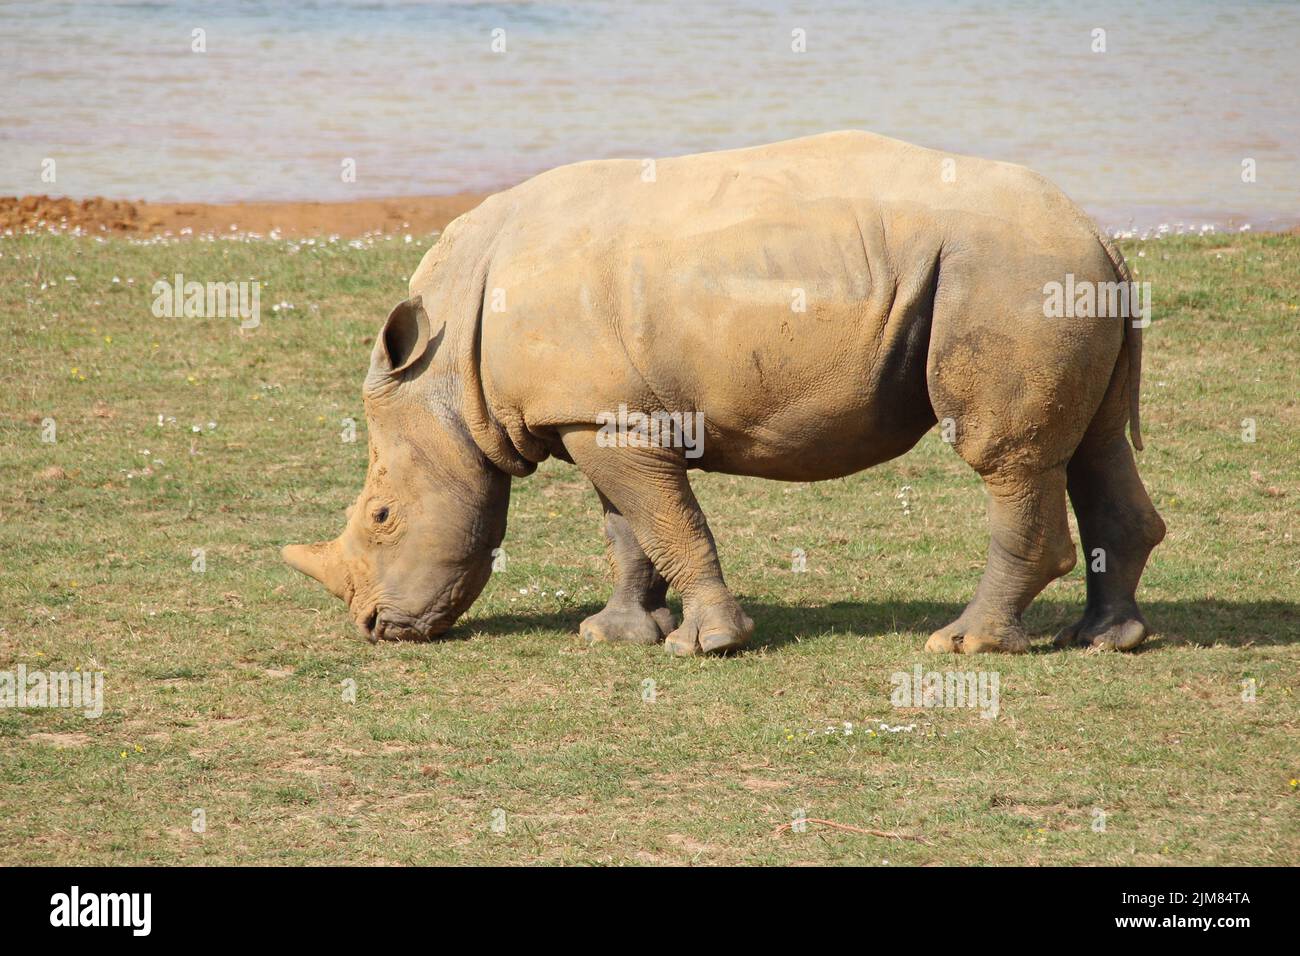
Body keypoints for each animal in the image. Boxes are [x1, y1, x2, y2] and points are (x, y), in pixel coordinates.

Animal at [283, 131, 1166, 655]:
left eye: (382, 517)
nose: (372, 628)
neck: (449, 372)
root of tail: (1100, 233)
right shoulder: (603, 416)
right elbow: (631, 530)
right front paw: (616, 636)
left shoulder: (603, 420)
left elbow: (668, 523)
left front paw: (707, 644)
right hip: (1056, 281)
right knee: (1093, 447)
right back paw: (1106, 638)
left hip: (1007, 278)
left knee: (1006, 459)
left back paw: (963, 645)